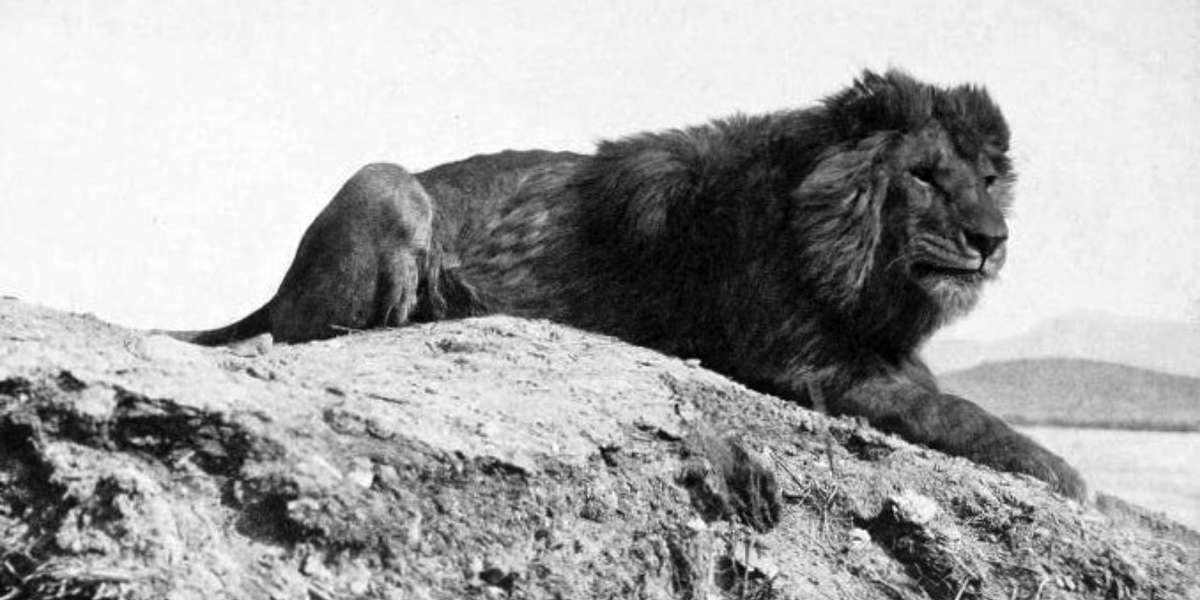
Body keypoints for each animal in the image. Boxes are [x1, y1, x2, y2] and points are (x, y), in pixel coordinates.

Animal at [166, 70, 1085, 499]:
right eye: (925, 176)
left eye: (990, 178)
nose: (991, 241)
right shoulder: (805, 365)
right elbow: (958, 414)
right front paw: (1066, 474)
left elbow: (949, 398)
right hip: (384, 181)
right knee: (312, 328)